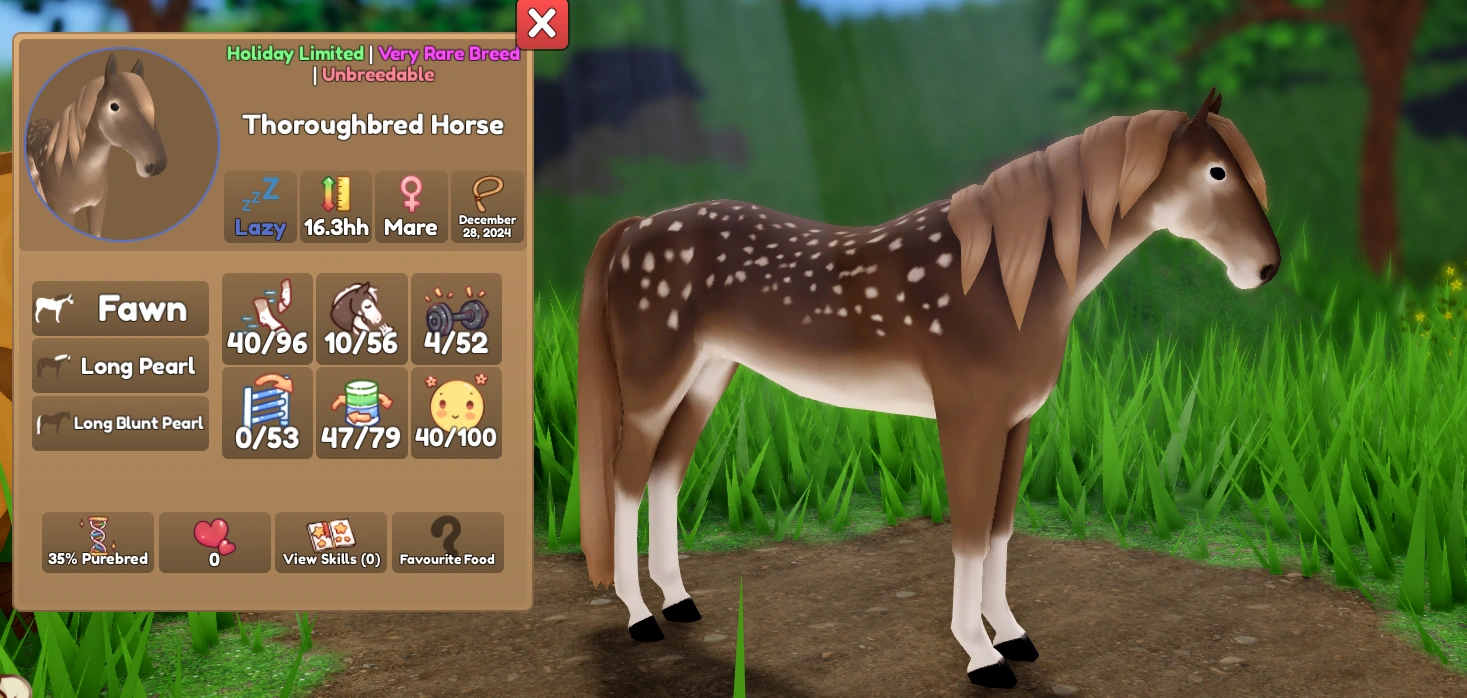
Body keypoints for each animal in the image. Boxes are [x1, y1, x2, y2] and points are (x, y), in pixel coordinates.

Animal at [575, 90, 1279, 688]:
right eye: (1217, 173)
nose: (1266, 268)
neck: (1005, 281)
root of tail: (637, 228)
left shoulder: (1015, 423)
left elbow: (999, 531)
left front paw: (1012, 633)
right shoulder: (969, 420)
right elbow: (968, 534)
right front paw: (982, 654)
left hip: (704, 379)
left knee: (664, 475)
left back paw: (679, 601)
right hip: (653, 385)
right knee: (625, 479)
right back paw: (640, 616)